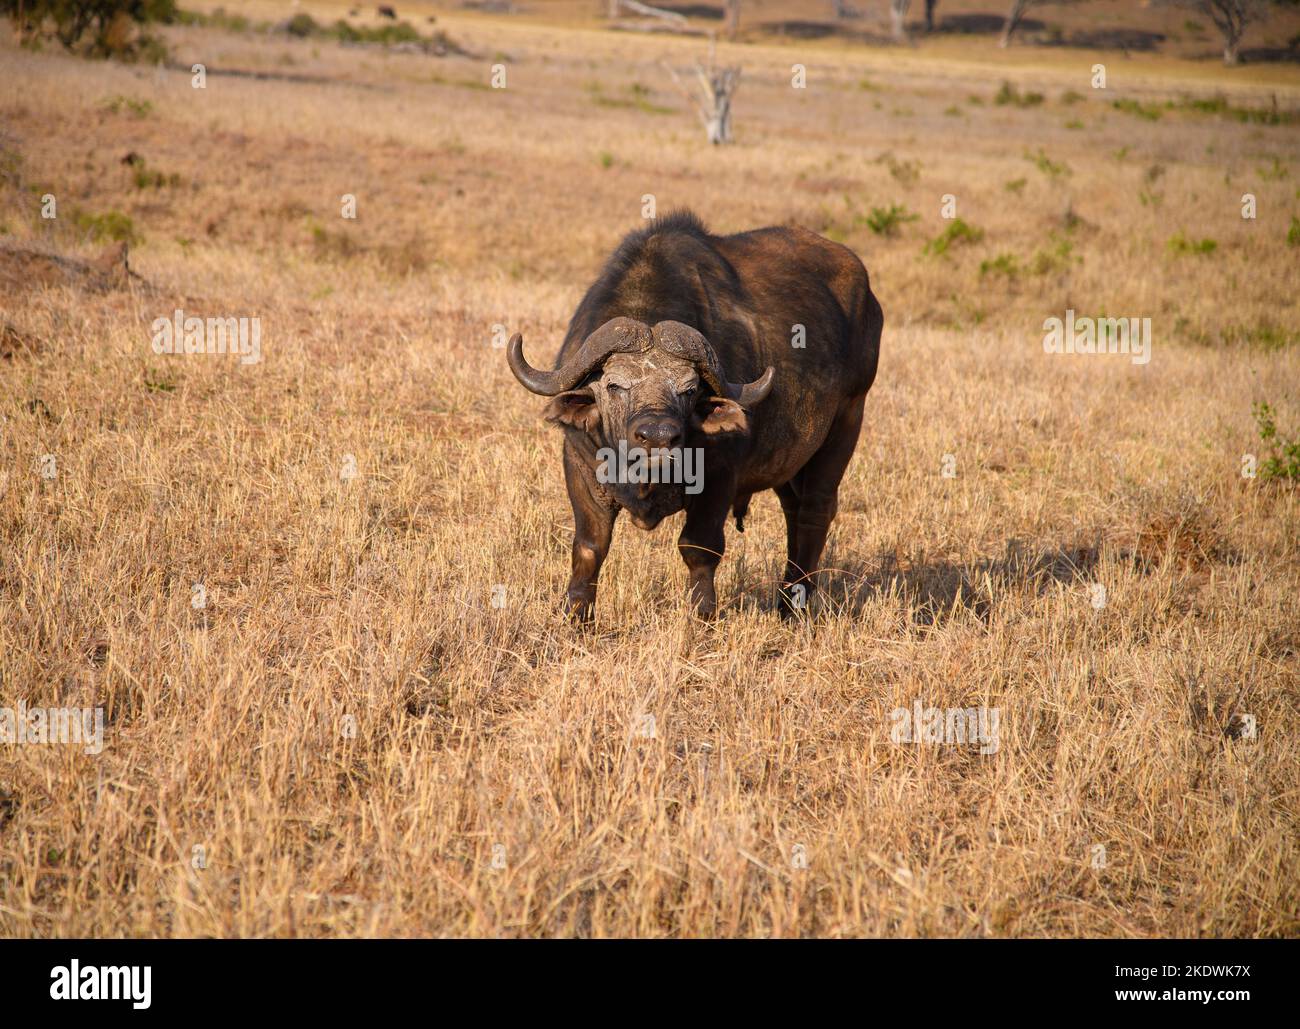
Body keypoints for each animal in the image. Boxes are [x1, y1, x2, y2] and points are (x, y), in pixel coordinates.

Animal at [507, 211, 882, 621]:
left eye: (689, 389)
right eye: (614, 385)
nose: (657, 437)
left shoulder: (719, 476)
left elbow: (699, 547)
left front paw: (701, 616)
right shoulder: (580, 466)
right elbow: (590, 546)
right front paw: (576, 616)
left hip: (847, 421)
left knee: (816, 511)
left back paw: (793, 606)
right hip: (790, 461)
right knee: (793, 513)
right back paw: (786, 600)